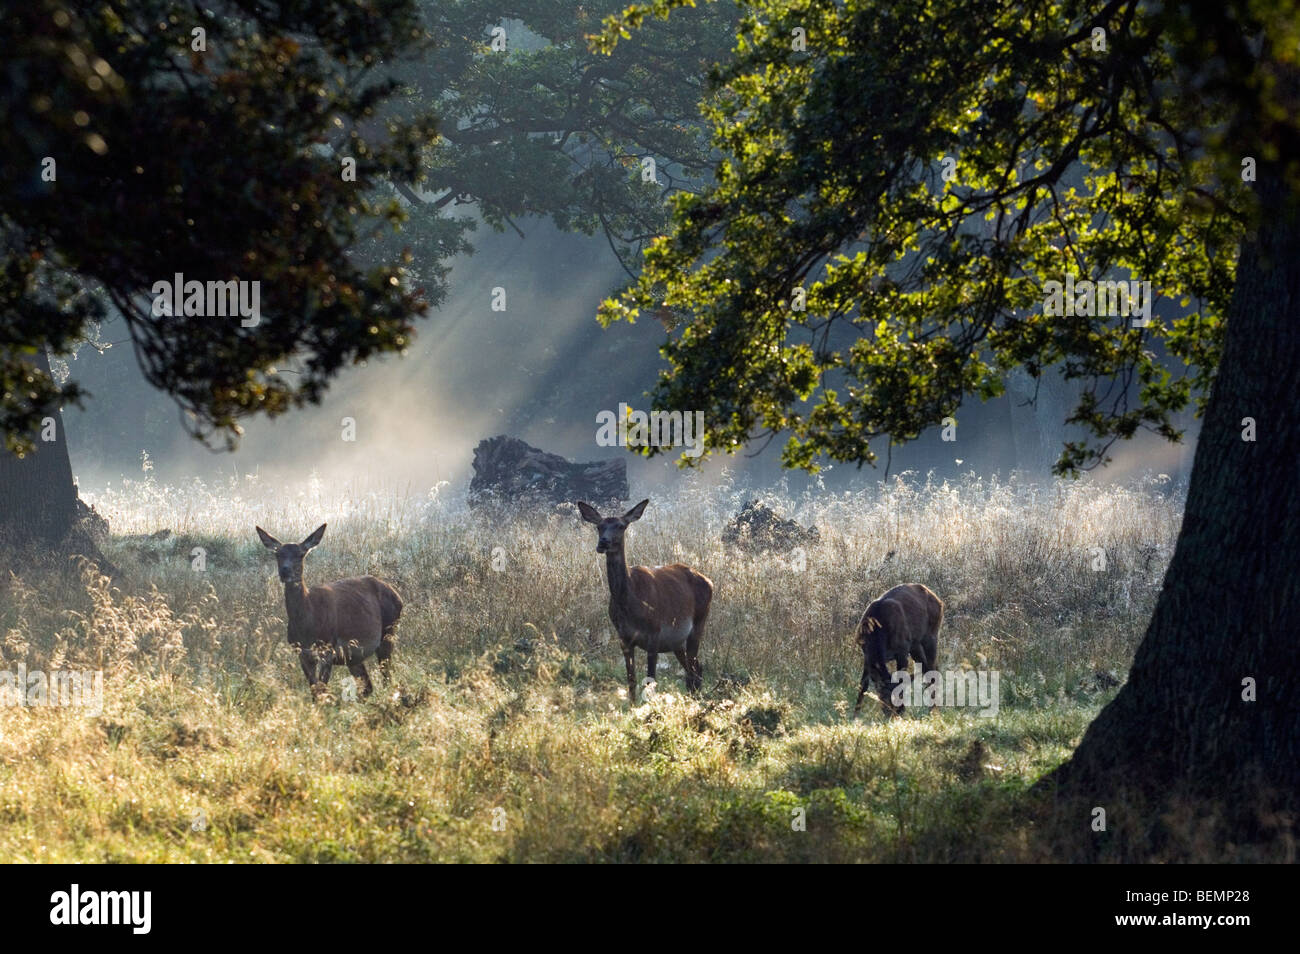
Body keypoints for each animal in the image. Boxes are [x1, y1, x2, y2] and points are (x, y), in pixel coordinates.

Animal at [256, 523, 402, 699]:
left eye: (301, 554)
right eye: (277, 554)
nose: (285, 571)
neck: (307, 626)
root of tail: (397, 595)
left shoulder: (328, 649)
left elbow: (322, 690)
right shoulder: (301, 652)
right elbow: (314, 691)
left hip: (388, 632)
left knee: (388, 679)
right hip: (353, 656)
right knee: (368, 687)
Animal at [577, 499, 713, 703]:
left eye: (621, 526)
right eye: (599, 526)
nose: (603, 542)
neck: (629, 605)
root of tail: (709, 582)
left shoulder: (654, 634)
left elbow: (650, 680)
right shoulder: (624, 637)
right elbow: (631, 680)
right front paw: (632, 705)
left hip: (698, 624)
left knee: (695, 670)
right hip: (677, 641)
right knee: (695, 668)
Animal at [853, 582, 943, 717]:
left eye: (898, 695)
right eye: (882, 697)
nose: (892, 714)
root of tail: (939, 601)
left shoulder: (902, 649)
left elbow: (902, 679)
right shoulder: (867, 654)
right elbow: (863, 685)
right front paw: (854, 715)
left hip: (931, 635)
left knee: (933, 669)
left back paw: (934, 709)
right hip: (915, 645)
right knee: (927, 668)